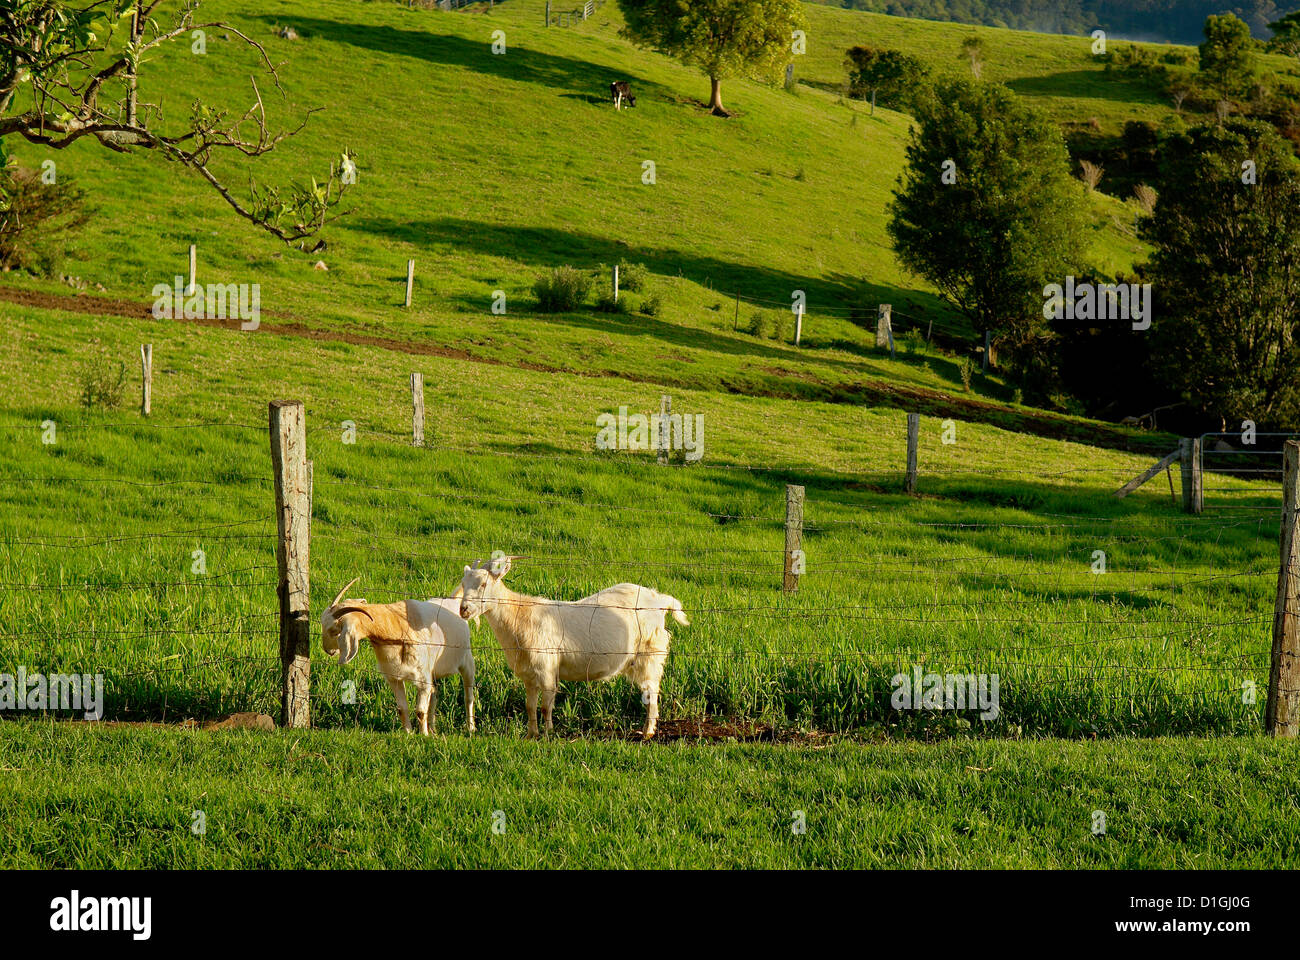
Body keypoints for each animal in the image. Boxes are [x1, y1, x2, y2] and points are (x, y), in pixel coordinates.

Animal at [321, 577, 475, 735]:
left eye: (334, 631)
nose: (327, 650)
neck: (399, 626)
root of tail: (454, 600)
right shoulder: (393, 678)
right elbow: (402, 709)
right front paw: (409, 733)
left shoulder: (423, 678)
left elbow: (420, 711)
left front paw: (424, 735)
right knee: (434, 695)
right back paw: (433, 729)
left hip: (467, 662)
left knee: (468, 696)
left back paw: (470, 728)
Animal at [457, 558, 687, 738]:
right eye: (463, 583)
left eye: (484, 584)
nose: (463, 609)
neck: (519, 616)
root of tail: (659, 599)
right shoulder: (529, 674)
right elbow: (530, 706)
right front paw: (531, 734)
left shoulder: (547, 668)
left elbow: (545, 706)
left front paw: (547, 734)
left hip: (650, 654)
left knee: (652, 692)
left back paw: (647, 732)